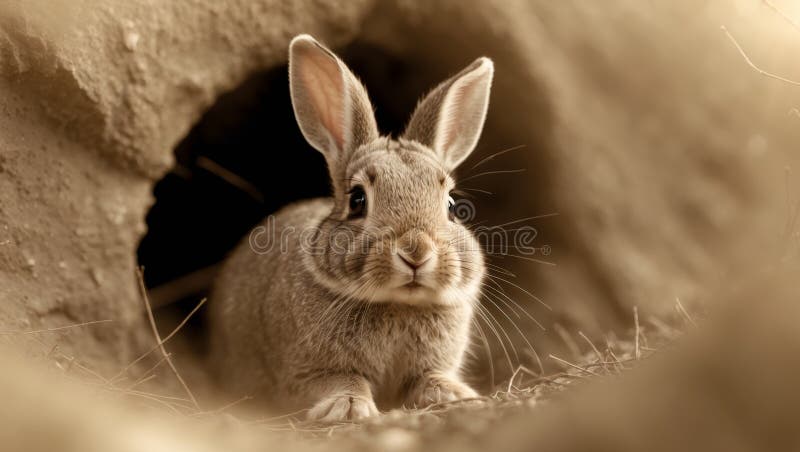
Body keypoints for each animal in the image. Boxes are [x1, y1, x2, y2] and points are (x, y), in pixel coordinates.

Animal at [208, 34, 493, 422]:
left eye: (450, 205)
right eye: (358, 200)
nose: (416, 252)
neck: (398, 304)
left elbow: (429, 376)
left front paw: (452, 393)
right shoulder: (304, 374)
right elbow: (343, 380)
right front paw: (348, 408)